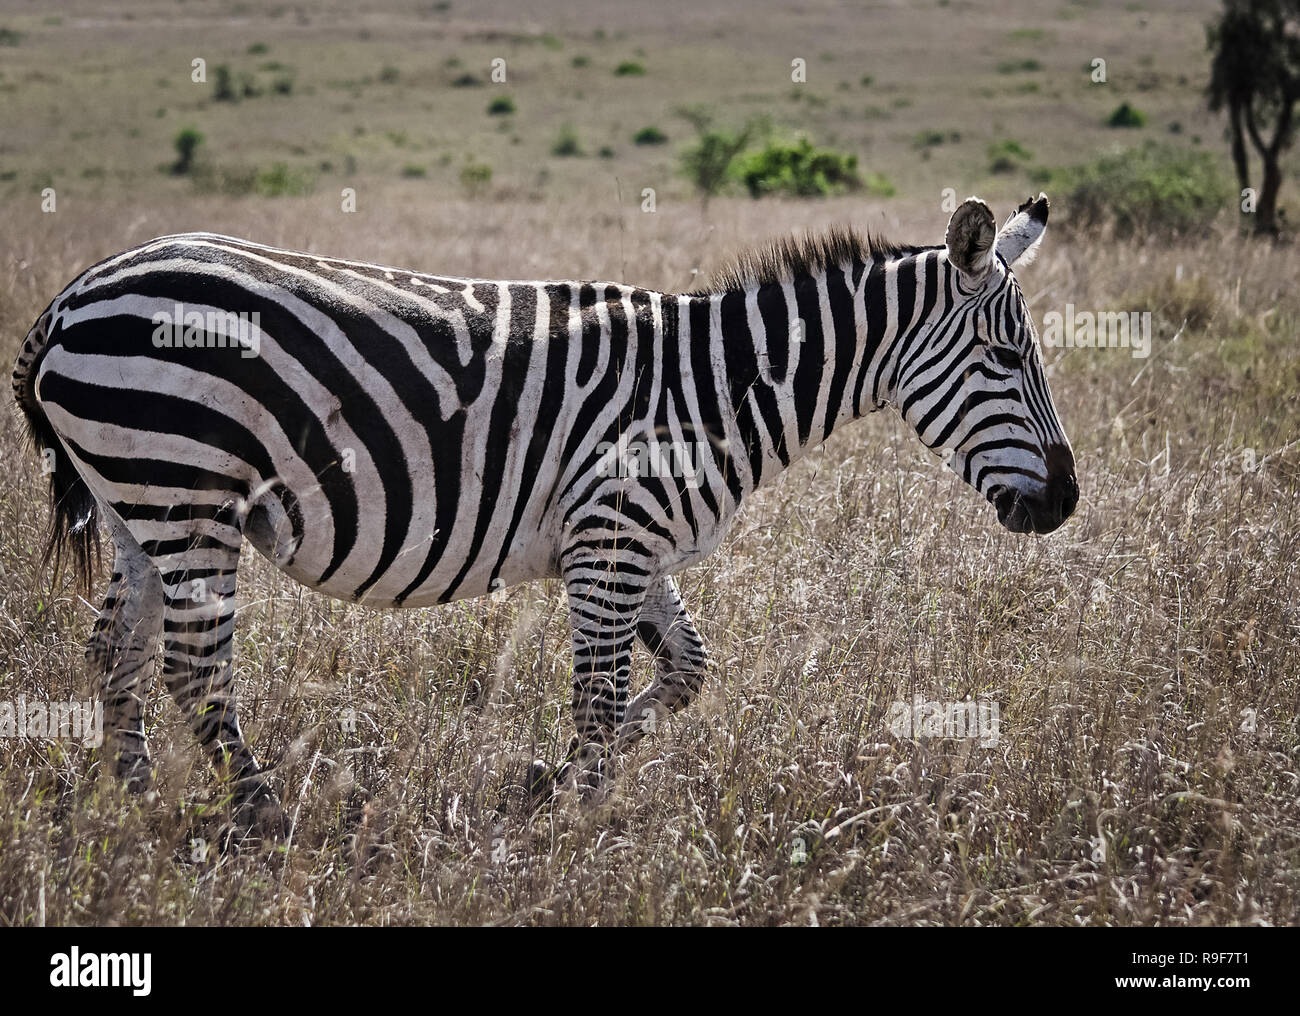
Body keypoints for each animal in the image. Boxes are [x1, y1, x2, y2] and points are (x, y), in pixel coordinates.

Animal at [13, 193, 1076, 833]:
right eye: (1006, 358)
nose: (1066, 501)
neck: (716, 391)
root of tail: (74, 293)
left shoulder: (635, 547)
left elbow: (687, 672)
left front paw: (547, 792)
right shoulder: (613, 540)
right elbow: (600, 702)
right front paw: (583, 833)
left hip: (141, 500)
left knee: (119, 650)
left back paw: (130, 809)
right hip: (185, 491)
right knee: (194, 669)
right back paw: (264, 820)